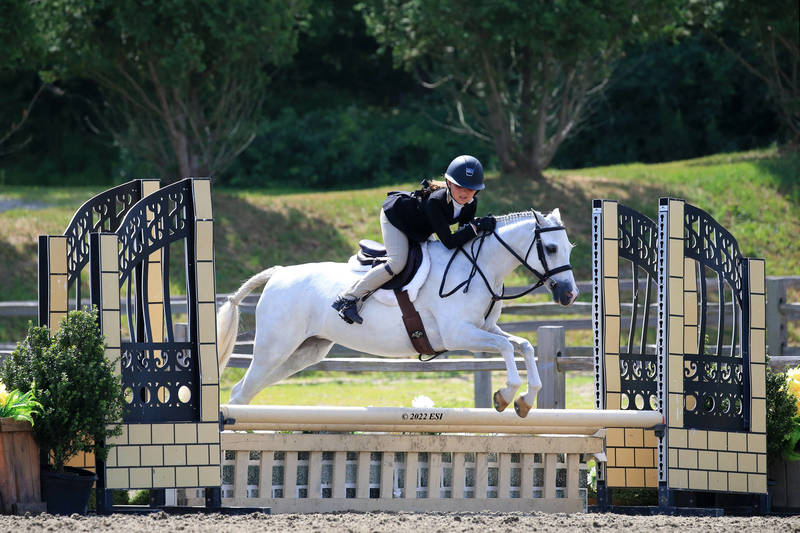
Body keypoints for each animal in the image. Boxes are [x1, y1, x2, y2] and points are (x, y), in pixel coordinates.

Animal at [216, 208, 579, 417]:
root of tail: (278, 274)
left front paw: (524, 401)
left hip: (303, 352)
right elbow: (506, 348)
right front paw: (505, 395)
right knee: (240, 392)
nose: (569, 294)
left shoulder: (485, 328)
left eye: (569, 247)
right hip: (274, 348)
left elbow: (524, 345)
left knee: (248, 391)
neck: (478, 266)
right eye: (550, 248)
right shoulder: (459, 334)